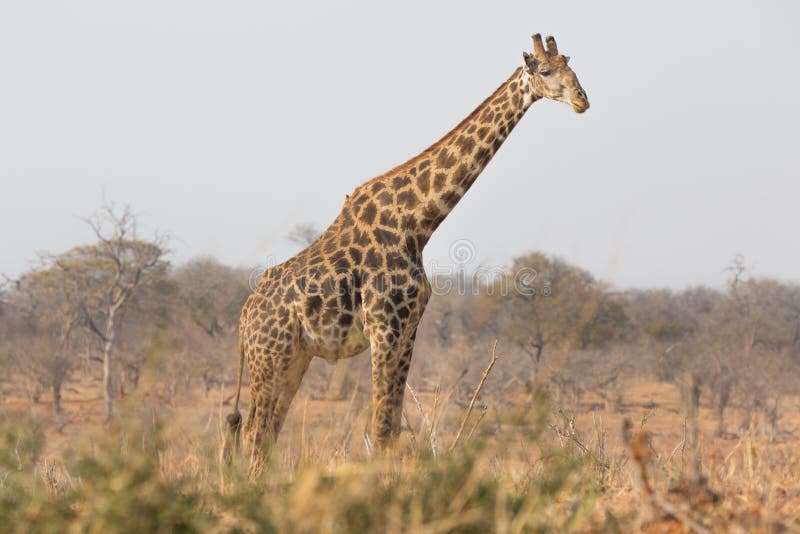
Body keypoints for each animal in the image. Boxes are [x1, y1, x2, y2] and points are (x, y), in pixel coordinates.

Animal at [224, 34, 589, 474]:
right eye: (547, 71)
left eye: (573, 68)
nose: (582, 100)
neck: (419, 222)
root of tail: (244, 318)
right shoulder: (385, 326)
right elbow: (380, 429)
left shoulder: (409, 327)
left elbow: (392, 430)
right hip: (270, 357)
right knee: (254, 432)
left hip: (296, 357)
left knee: (266, 432)